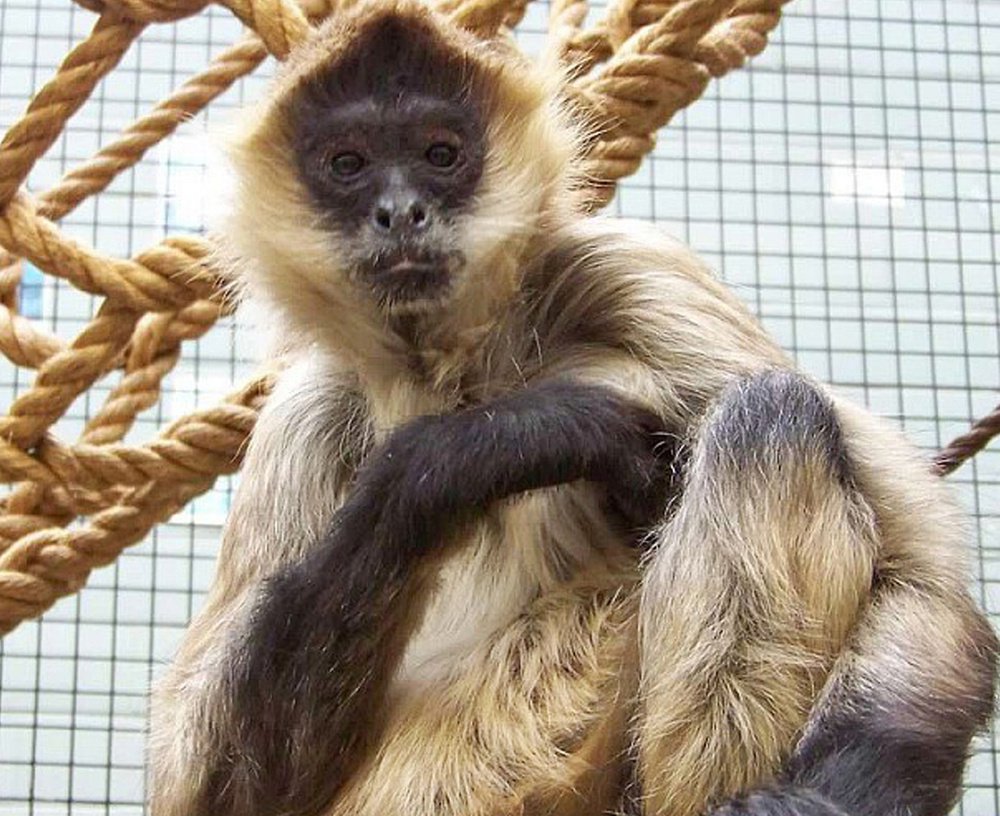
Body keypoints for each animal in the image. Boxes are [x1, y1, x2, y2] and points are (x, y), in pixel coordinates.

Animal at [147, 3, 998, 816]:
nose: (400, 211)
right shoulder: (313, 402)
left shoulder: (626, 266)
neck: (462, 368)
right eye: (347, 164)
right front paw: (505, 441)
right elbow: (213, 793)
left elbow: (922, 580)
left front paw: (812, 802)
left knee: (772, 415)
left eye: (439, 154)